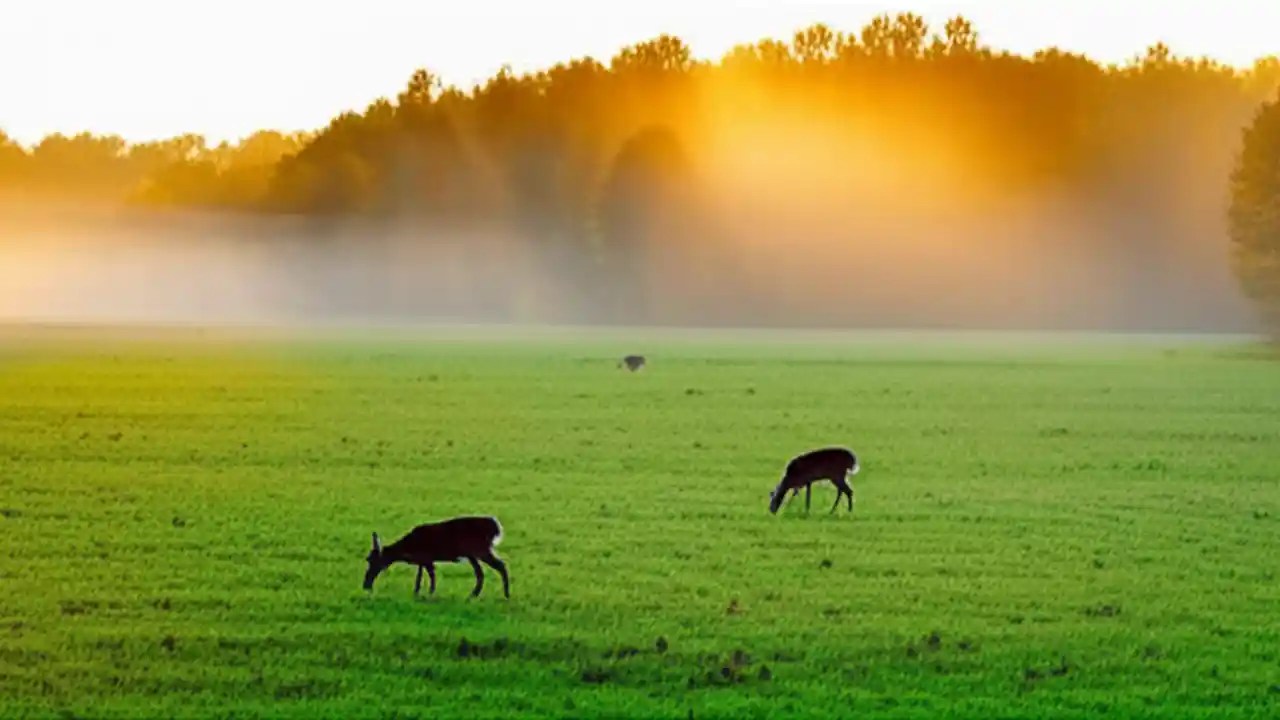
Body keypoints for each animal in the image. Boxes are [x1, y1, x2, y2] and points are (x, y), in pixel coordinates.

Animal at [363, 515, 510, 599]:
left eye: (371, 560)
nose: (366, 585)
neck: (408, 548)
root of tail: (496, 528)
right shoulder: (423, 559)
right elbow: (421, 575)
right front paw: (417, 591)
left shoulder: (426, 558)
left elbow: (430, 575)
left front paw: (429, 592)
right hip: (473, 553)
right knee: (481, 572)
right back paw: (474, 595)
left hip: (480, 549)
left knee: (500, 566)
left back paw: (506, 594)